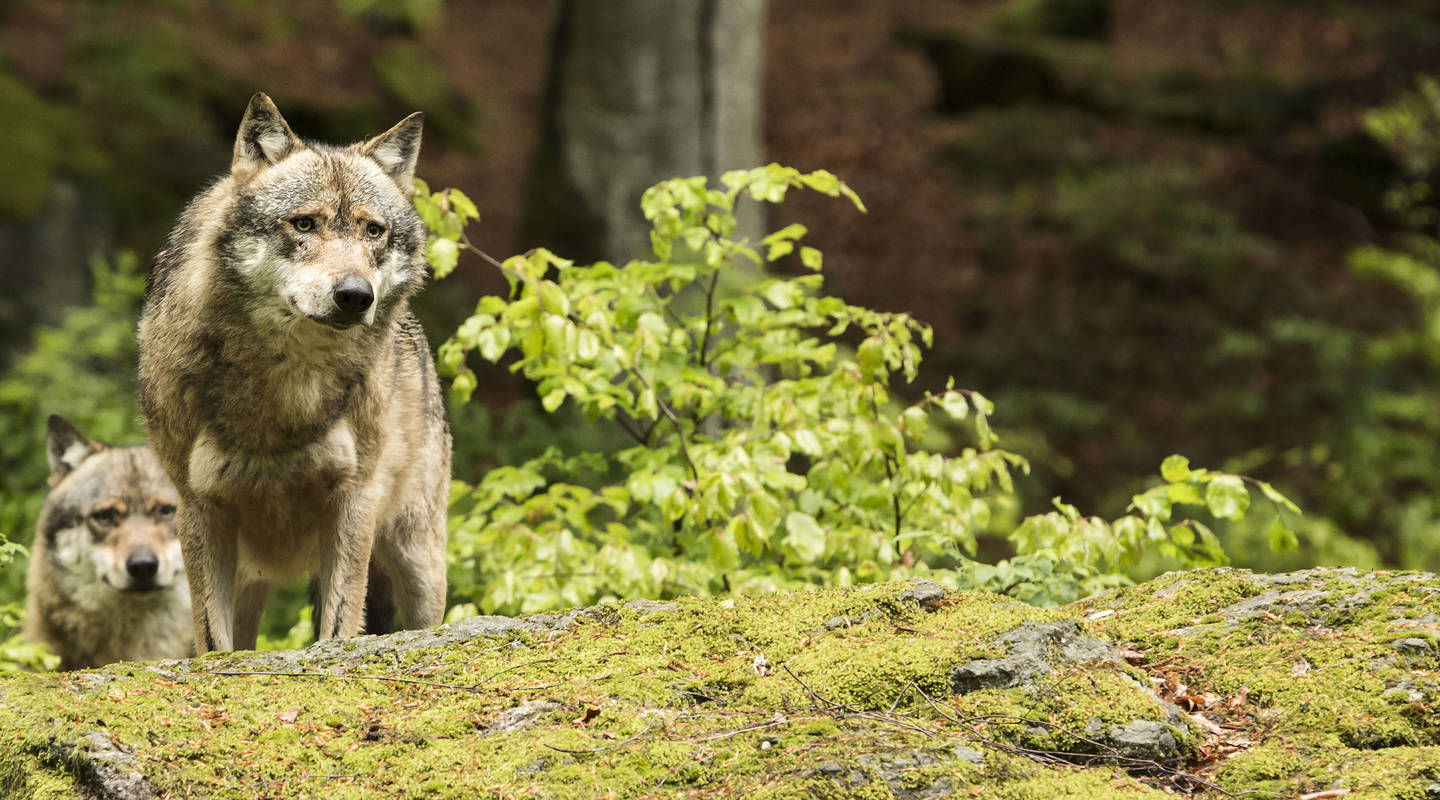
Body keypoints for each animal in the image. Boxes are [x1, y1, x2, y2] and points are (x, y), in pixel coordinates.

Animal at [138, 93, 451, 653]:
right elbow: (212, 641)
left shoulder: (354, 497)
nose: (355, 295)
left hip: (418, 561)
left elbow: (339, 623)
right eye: (304, 224)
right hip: (249, 577)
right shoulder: (198, 506)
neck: (285, 391)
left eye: (373, 231)